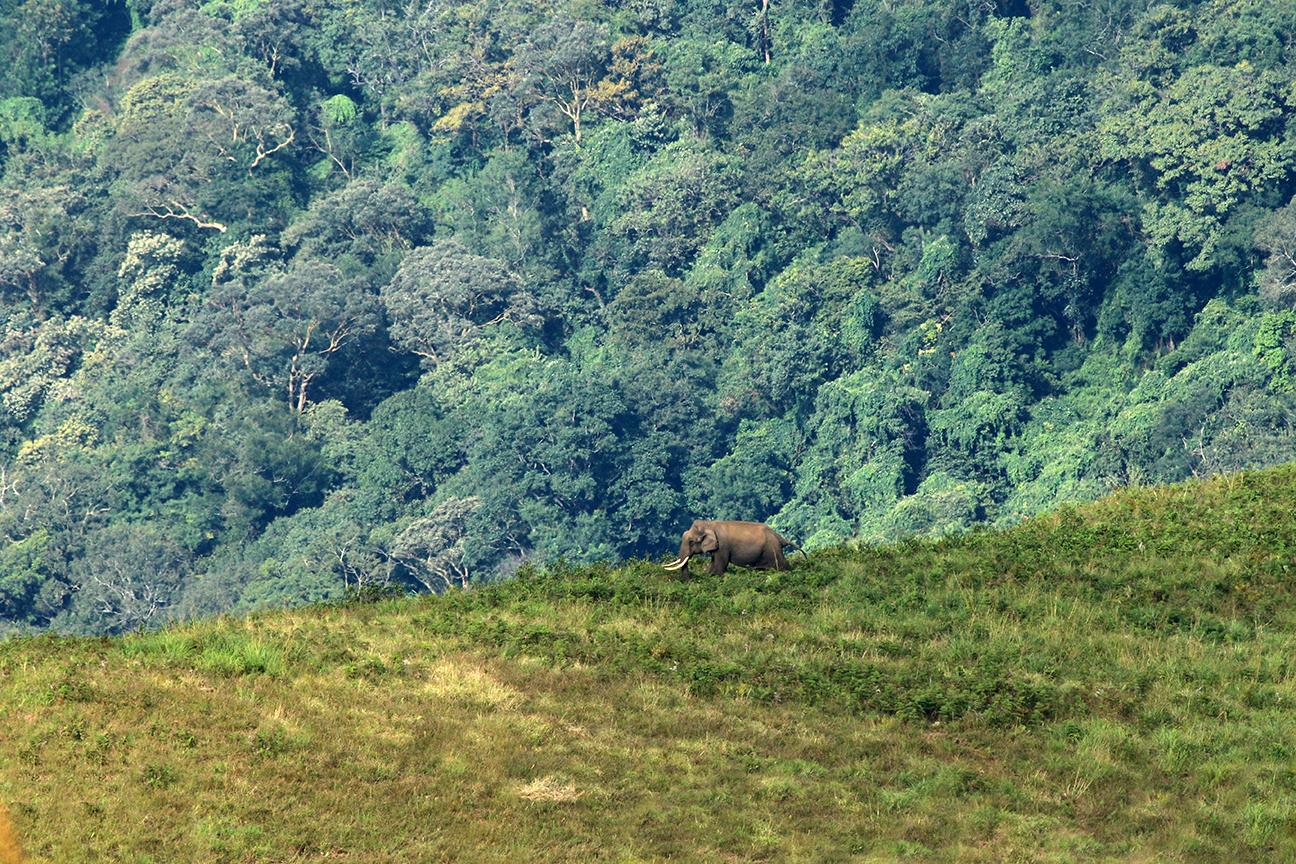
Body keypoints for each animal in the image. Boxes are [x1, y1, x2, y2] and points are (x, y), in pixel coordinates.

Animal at [663, 519, 806, 578]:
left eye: (692, 541)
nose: (689, 582)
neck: (709, 524)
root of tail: (780, 537)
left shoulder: (723, 546)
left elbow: (720, 566)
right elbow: (713, 564)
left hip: (773, 550)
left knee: (783, 567)